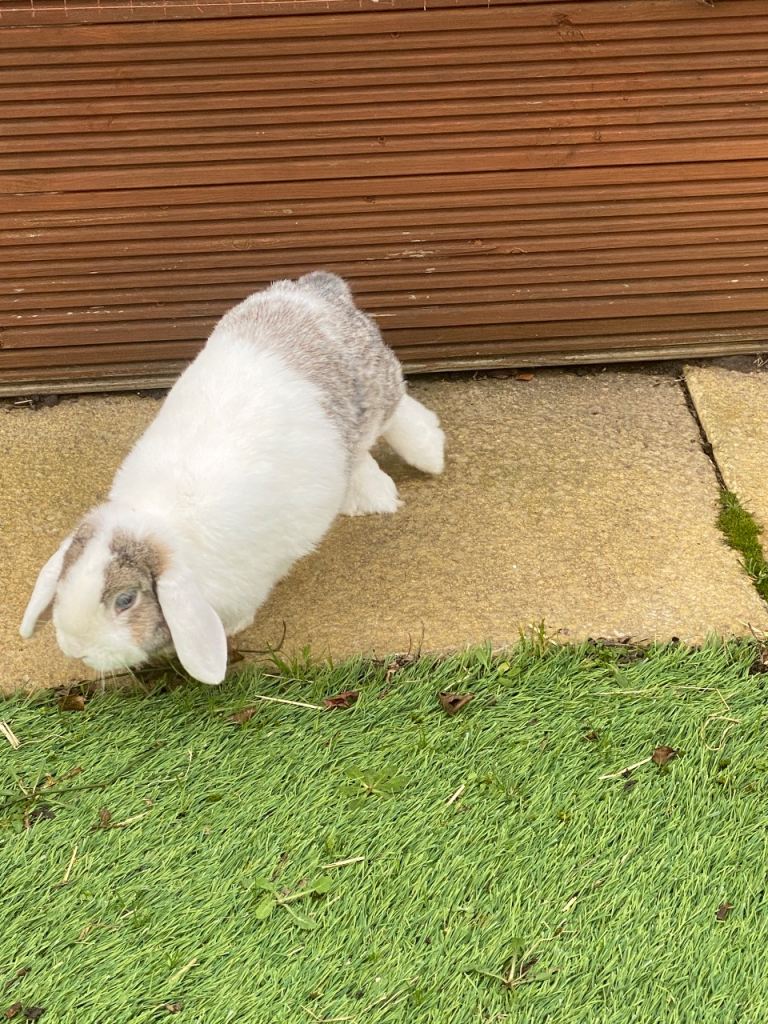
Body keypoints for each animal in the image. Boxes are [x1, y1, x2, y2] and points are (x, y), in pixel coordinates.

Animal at [19, 272, 445, 685]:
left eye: (126, 600)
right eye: (66, 576)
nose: (76, 650)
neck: (163, 524)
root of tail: (319, 293)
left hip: (375, 390)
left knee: (398, 411)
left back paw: (422, 460)